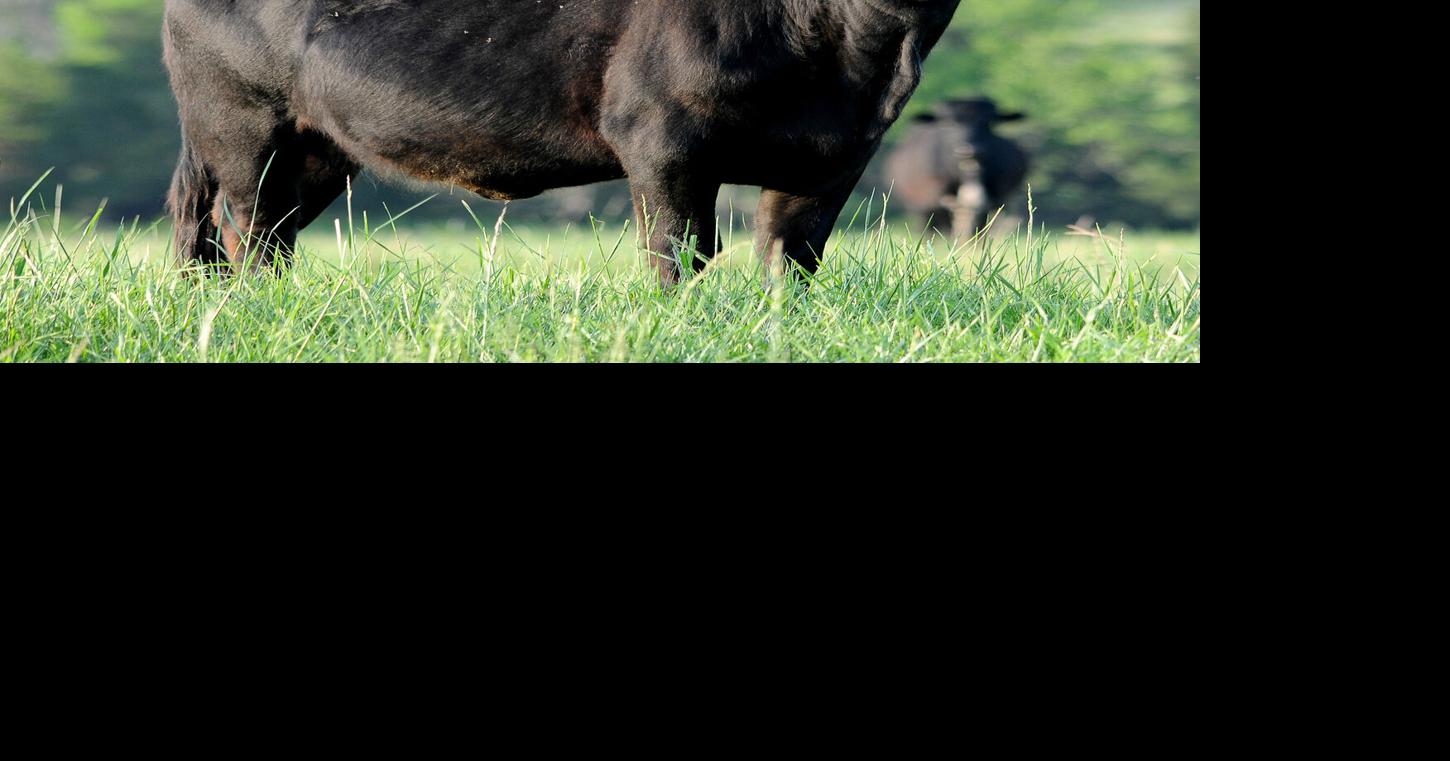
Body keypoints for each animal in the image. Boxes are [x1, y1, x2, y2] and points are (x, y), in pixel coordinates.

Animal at [163, 0, 964, 285]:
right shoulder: (661, 136)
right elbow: (680, 249)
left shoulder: (836, 156)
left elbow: (790, 258)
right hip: (242, 126)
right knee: (246, 229)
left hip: (318, 150)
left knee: (248, 232)